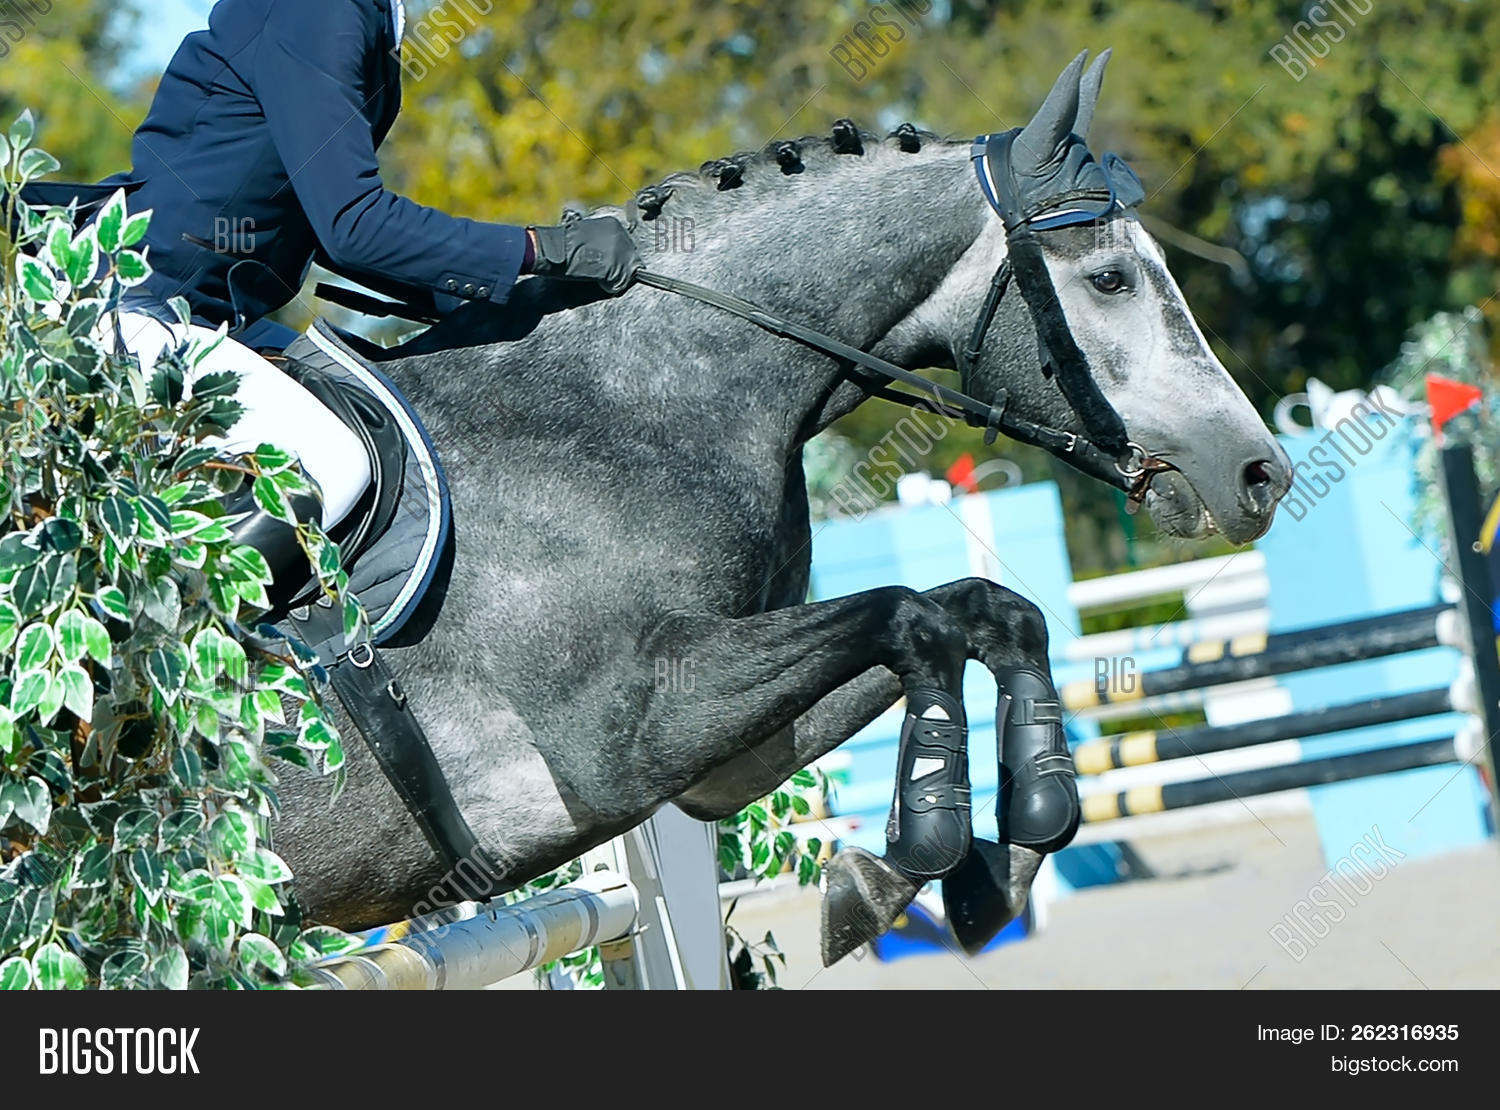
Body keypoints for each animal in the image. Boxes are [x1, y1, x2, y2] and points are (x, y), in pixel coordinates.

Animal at [272, 50, 1291, 966]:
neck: (637, 399)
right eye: (1111, 278)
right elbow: (911, 618)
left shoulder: (716, 763)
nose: (1263, 475)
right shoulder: (624, 732)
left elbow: (991, 612)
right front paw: (920, 852)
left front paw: (998, 853)